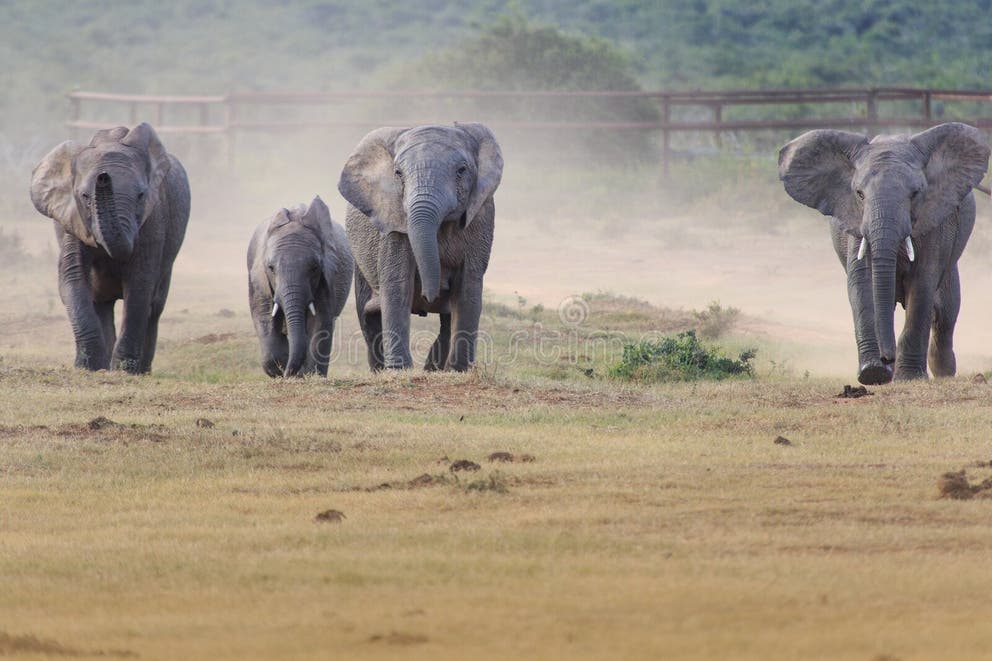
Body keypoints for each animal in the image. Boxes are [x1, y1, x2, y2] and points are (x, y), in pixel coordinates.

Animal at [30, 123, 190, 374]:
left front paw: (125, 371)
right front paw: (87, 368)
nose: (103, 176)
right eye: (85, 197)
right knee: (101, 304)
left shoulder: (154, 218)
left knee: (154, 306)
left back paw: (142, 370)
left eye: (141, 196)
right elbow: (73, 277)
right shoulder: (71, 221)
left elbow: (140, 284)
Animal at [247, 196, 353, 378]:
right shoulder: (259, 278)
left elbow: (320, 321)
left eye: (314, 268)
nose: (287, 374)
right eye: (271, 268)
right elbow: (265, 316)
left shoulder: (328, 276)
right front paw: (280, 369)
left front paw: (309, 375)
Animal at [337, 122, 503, 371]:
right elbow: (398, 283)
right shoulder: (394, 221)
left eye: (462, 170)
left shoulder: (481, 217)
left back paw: (433, 370)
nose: (430, 294)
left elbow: (468, 289)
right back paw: (380, 370)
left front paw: (458, 371)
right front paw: (399, 371)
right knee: (367, 316)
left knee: (446, 321)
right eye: (398, 174)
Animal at [779, 122, 990, 384]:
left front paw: (908, 378)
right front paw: (872, 373)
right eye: (859, 194)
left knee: (945, 313)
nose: (887, 358)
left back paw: (944, 374)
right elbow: (862, 284)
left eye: (915, 194)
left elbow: (922, 284)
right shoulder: (856, 223)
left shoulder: (936, 223)